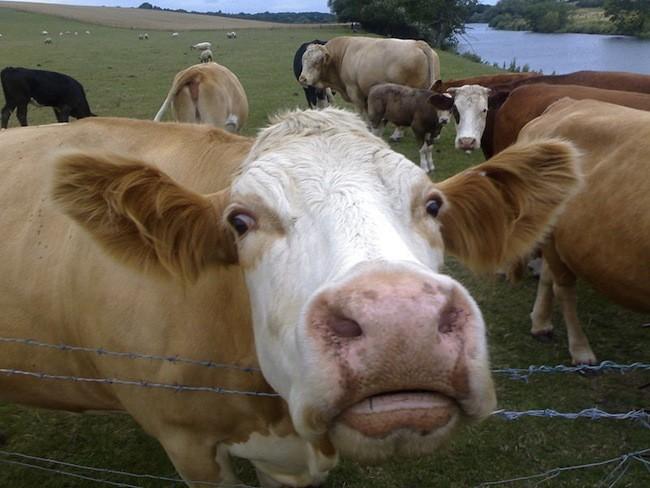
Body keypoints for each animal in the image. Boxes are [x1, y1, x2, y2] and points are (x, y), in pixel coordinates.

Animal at [298, 36, 440, 121]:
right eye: (303, 60)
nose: (302, 79)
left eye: (317, 62)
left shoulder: (354, 91)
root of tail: (418, 43)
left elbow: (361, 113)